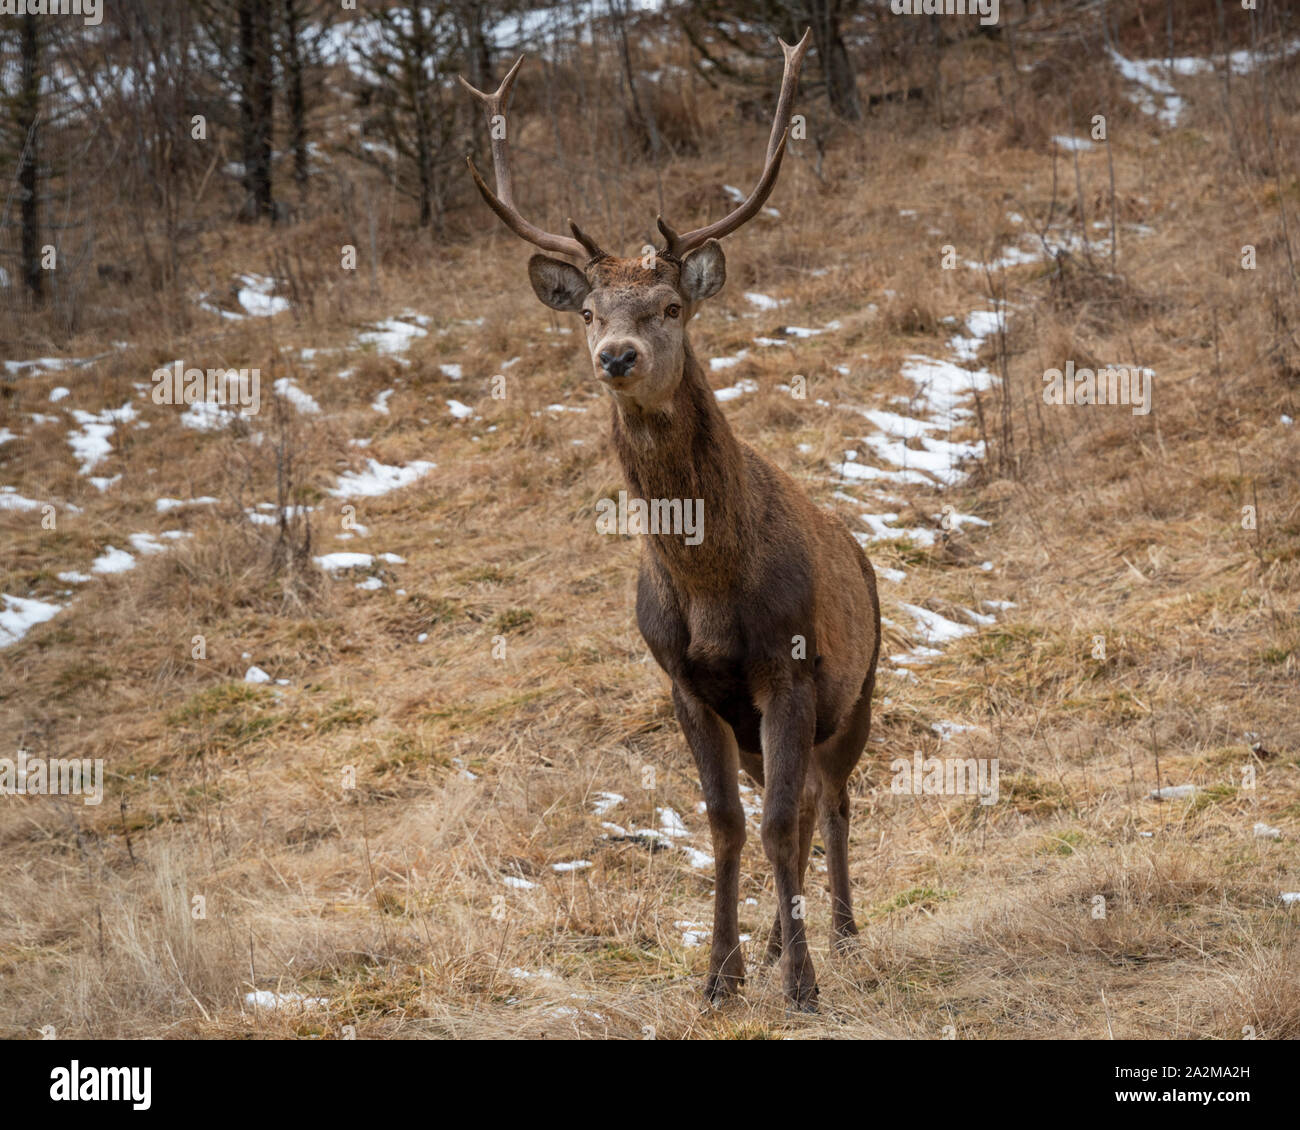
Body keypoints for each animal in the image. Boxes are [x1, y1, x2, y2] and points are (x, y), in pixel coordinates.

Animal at [460, 29, 880, 1010]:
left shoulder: (791, 671)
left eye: (671, 306)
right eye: (586, 309)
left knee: (833, 801)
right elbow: (726, 824)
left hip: (862, 690)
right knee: (796, 806)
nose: (617, 355)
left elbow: (775, 824)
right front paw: (722, 974)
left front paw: (800, 983)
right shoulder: (684, 683)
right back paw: (777, 936)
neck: (711, 588)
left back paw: (841, 930)